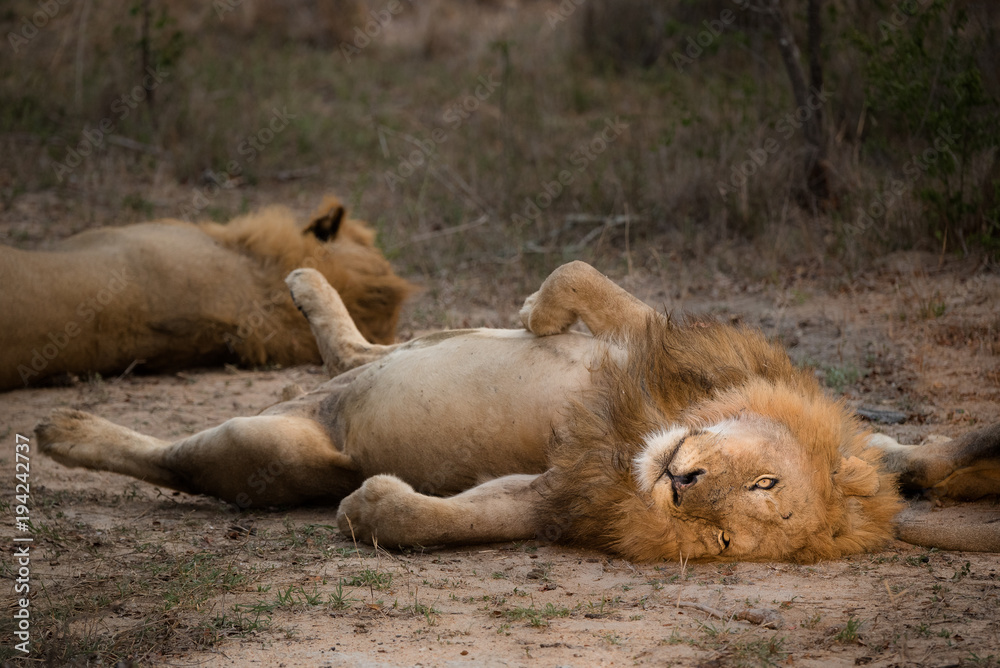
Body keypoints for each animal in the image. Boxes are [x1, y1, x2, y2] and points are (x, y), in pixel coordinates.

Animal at [35, 261, 1000, 562]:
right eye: (761, 480)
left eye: (729, 536)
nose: (682, 486)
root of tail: (308, 402)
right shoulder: (648, 341)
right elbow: (581, 282)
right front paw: (537, 310)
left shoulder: (556, 494)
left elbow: (452, 518)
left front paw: (372, 509)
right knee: (370, 352)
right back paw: (308, 282)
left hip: (263, 448)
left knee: (174, 458)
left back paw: (59, 429)